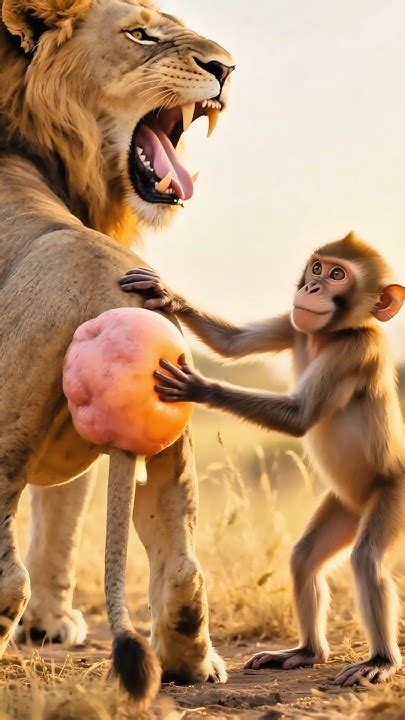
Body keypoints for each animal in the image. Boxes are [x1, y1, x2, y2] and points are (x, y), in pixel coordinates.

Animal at [0, 0, 234, 709]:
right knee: (182, 566)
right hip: (169, 440)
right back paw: (194, 666)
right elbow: (65, 516)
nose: (225, 68)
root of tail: (110, 286)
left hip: (7, 426)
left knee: (6, 575)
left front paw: (48, 627)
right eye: (142, 32)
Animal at [119, 232, 405, 686]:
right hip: (346, 503)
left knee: (366, 560)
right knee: (305, 557)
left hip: (392, 494)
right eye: (318, 268)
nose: (312, 287)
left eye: (338, 275)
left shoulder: (356, 349)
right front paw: (167, 294)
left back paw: (380, 660)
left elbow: (301, 416)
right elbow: (233, 344)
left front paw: (198, 387)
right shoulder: (295, 324)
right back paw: (307, 652)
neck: (332, 335)